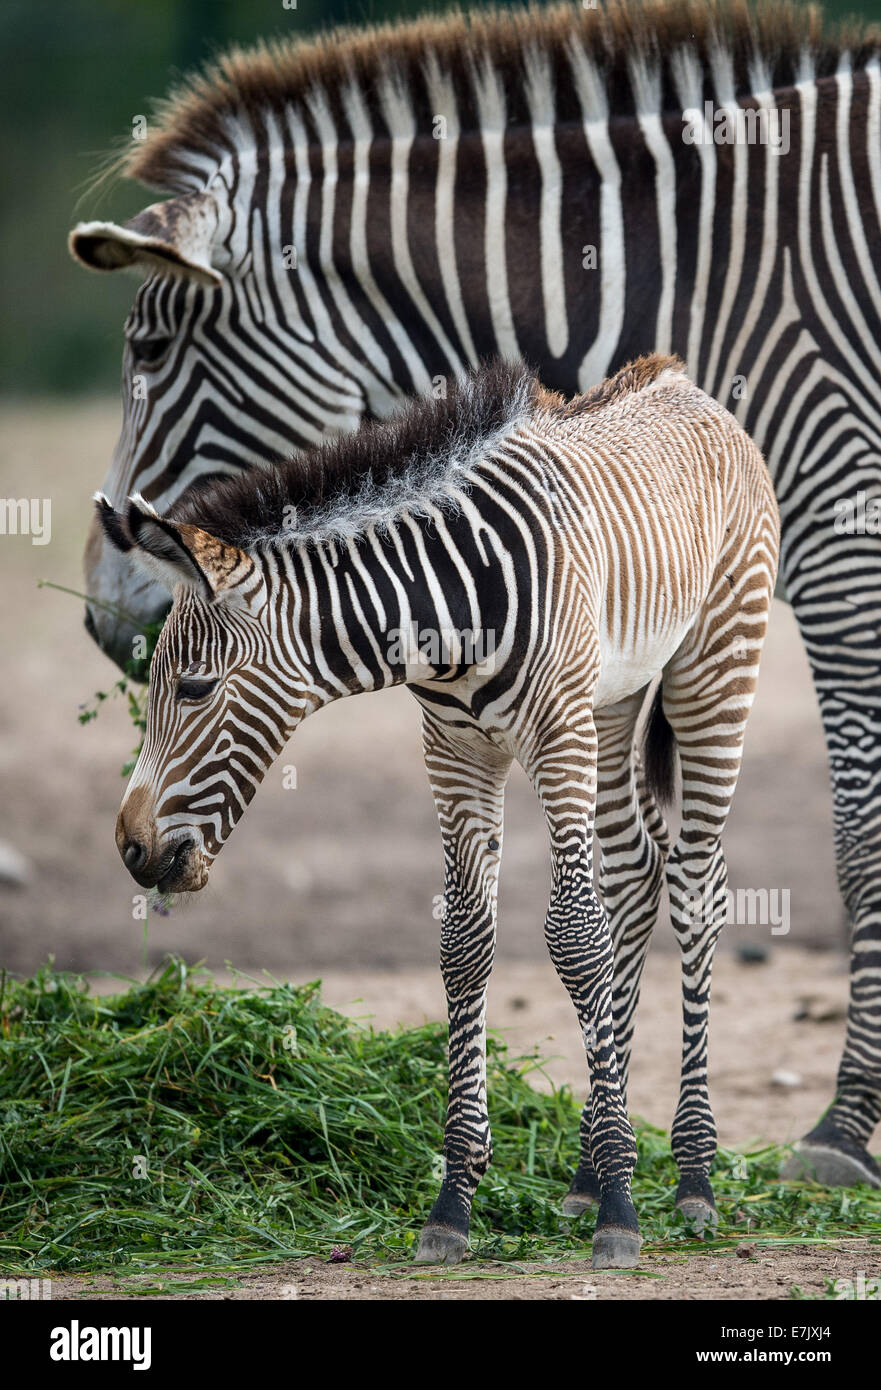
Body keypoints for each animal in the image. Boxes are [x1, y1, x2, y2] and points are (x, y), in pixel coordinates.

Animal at [96, 354, 780, 1266]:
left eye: (195, 688)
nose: (130, 846)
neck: (448, 611)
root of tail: (679, 381)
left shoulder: (554, 732)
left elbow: (573, 937)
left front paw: (621, 1211)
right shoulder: (453, 748)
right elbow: (464, 944)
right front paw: (456, 1201)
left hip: (713, 669)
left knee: (694, 887)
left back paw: (693, 1177)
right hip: (614, 699)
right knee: (634, 875)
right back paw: (588, 1169)